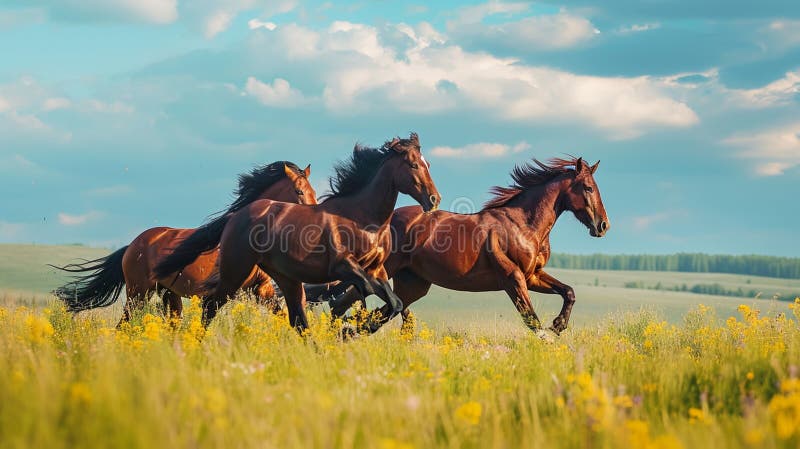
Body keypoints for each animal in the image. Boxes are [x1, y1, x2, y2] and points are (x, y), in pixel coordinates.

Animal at [52, 162, 316, 325]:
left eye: (312, 190)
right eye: (298, 191)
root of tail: (132, 246)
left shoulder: (262, 289)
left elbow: (285, 317)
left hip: (168, 295)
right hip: (138, 293)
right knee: (123, 325)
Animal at [154, 133, 441, 332]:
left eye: (427, 163)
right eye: (413, 165)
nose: (434, 199)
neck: (363, 218)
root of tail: (238, 215)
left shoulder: (377, 269)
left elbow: (395, 302)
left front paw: (356, 327)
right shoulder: (345, 267)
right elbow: (368, 292)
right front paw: (353, 325)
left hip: (284, 277)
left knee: (297, 321)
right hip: (236, 271)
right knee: (210, 306)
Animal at [313, 157, 609, 337]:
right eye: (587, 188)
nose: (603, 225)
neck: (523, 225)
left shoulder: (532, 276)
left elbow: (569, 292)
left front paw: (559, 325)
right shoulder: (513, 279)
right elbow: (531, 319)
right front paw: (550, 337)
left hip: (413, 284)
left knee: (381, 311)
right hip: (380, 272)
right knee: (344, 304)